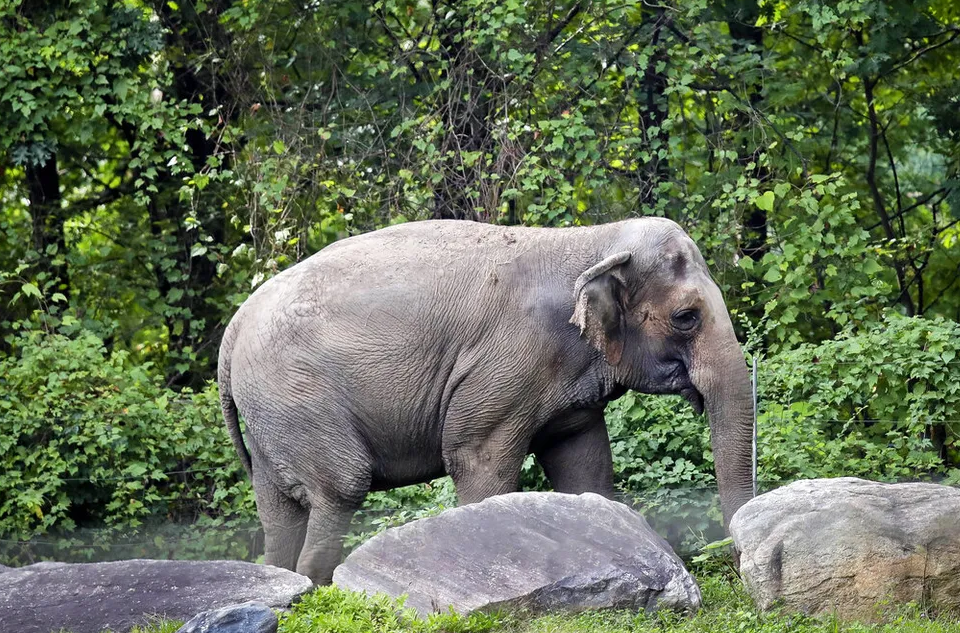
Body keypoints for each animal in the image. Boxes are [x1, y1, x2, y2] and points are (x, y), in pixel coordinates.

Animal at [218, 218, 754, 585]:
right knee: (340, 488)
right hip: (298, 397)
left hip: (271, 415)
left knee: (278, 511)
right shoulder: (506, 365)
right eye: (686, 317)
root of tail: (234, 328)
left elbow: (585, 467)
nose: (735, 562)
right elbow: (478, 460)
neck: (591, 240)